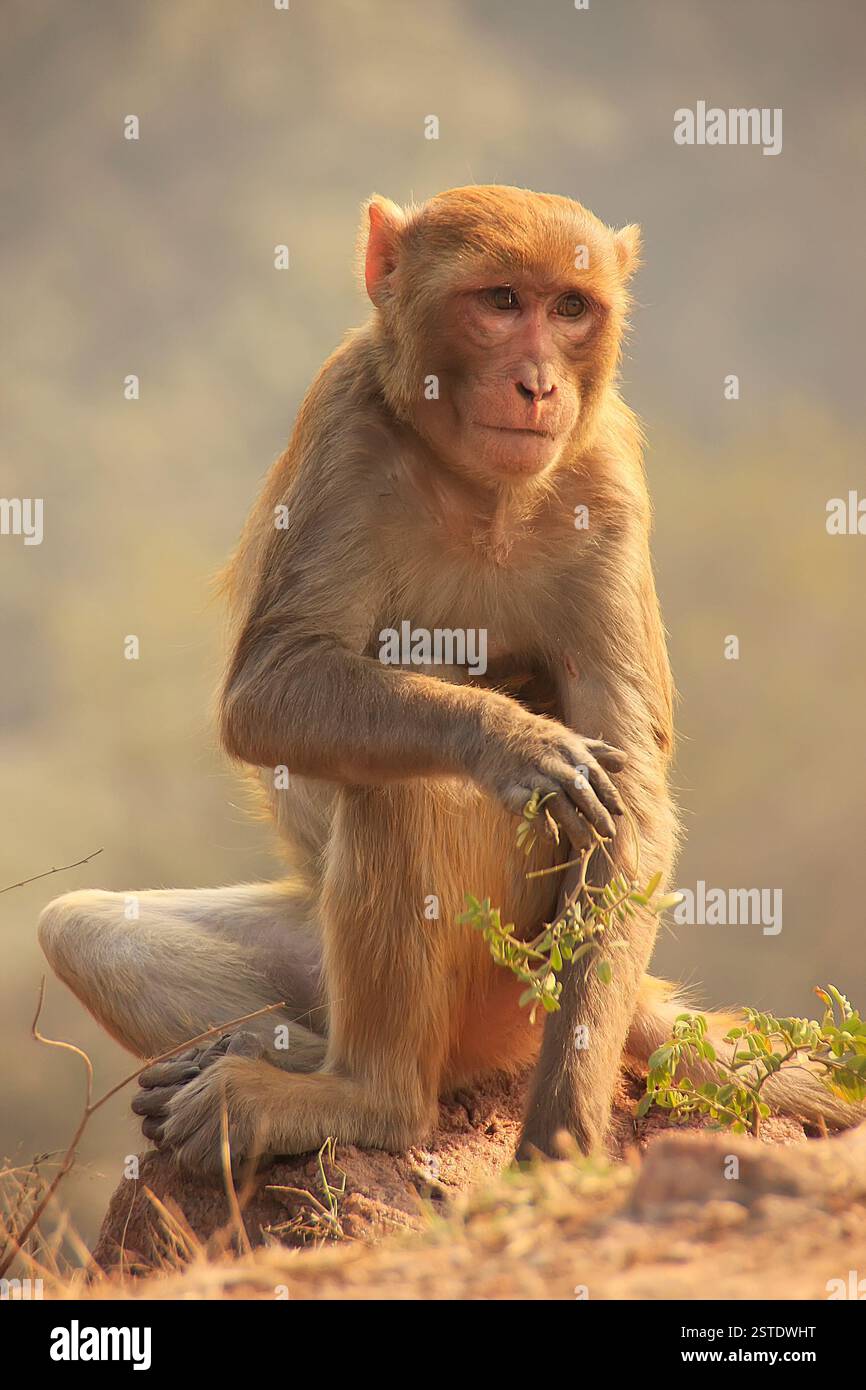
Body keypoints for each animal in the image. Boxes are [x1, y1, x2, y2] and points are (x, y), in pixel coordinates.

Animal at [37, 185, 861, 1174]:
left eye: (571, 308)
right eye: (501, 301)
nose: (539, 385)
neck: (479, 490)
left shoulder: (609, 476)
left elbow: (630, 796)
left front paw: (560, 1133)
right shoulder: (346, 422)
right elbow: (270, 686)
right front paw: (510, 739)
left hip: (510, 992)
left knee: (403, 792)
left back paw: (366, 1099)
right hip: (346, 957)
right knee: (90, 926)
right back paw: (304, 1062)